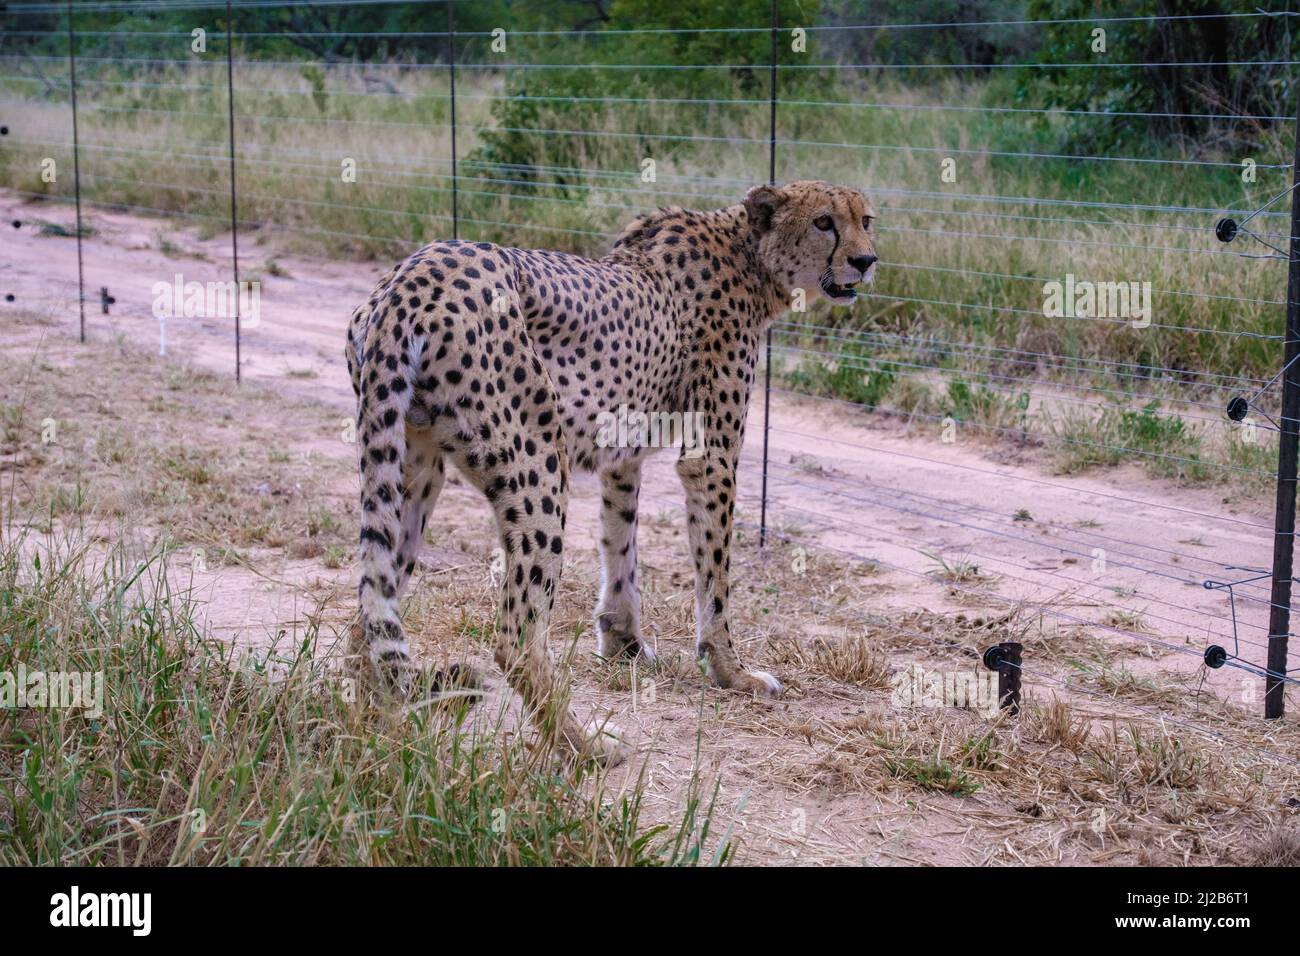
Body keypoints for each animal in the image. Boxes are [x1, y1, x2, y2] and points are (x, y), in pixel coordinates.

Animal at [346, 180, 878, 763]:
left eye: (866, 220)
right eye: (823, 222)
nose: (865, 260)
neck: (749, 255)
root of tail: (411, 277)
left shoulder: (623, 453)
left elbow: (621, 544)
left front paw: (624, 642)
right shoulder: (711, 458)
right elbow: (714, 576)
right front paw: (730, 672)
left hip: (412, 463)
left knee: (369, 611)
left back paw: (377, 735)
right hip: (537, 462)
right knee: (514, 639)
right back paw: (586, 745)